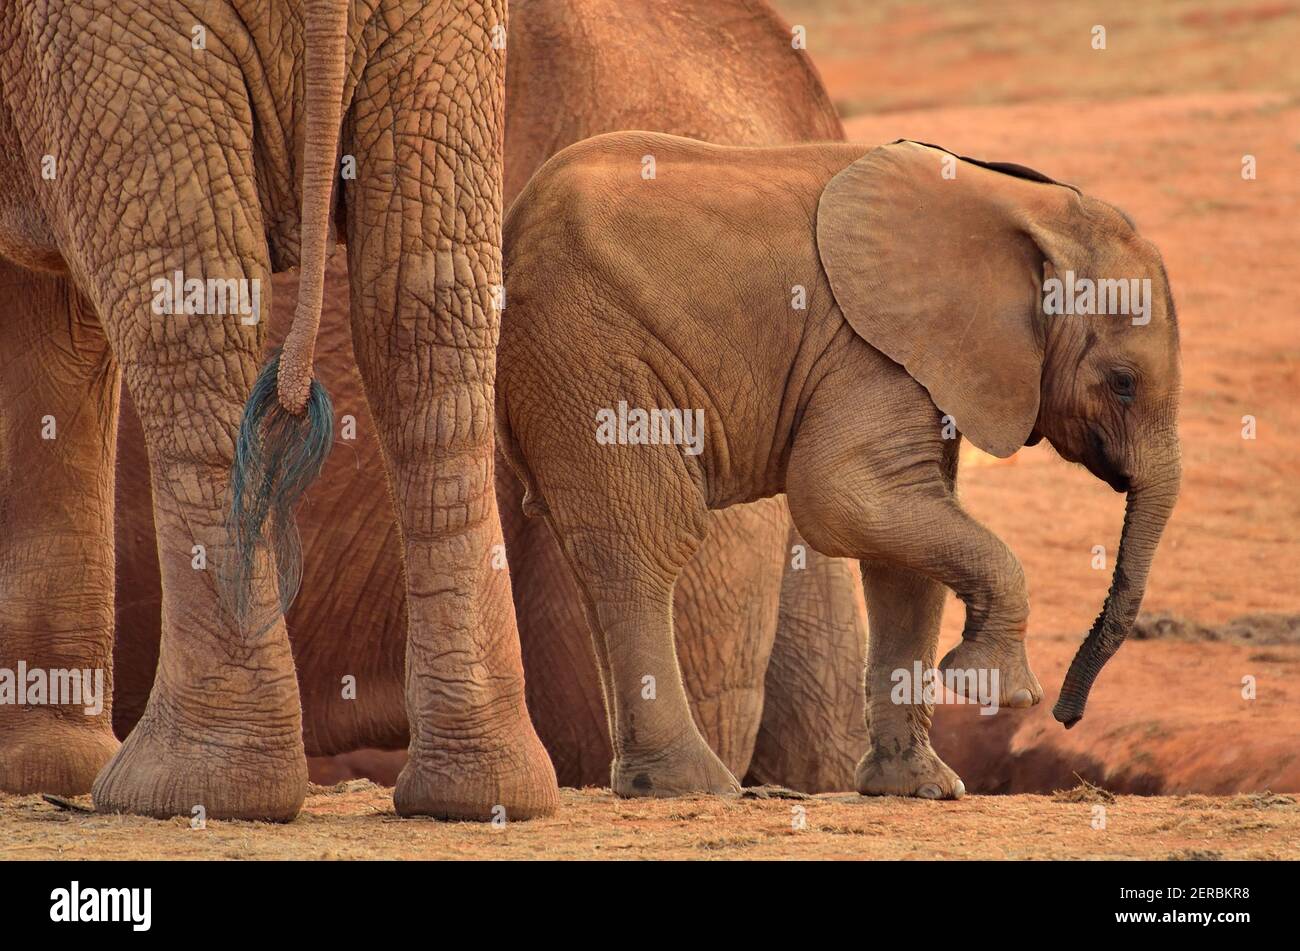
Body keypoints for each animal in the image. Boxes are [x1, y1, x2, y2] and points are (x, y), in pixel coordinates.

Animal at [0, 0, 558, 821]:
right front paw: (42, 767)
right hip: (444, 31)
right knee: (427, 303)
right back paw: (480, 793)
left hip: (110, 34)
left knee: (193, 300)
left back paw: (182, 790)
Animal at [496, 135, 1183, 798]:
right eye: (1122, 383)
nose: (1067, 717)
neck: (1027, 207)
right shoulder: (870, 349)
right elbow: (842, 499)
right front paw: (993, 690)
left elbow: (903, 553)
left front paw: (921, 788)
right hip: (596, 351)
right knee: (646, 539)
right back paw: (692, 786)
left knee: (599, 555)